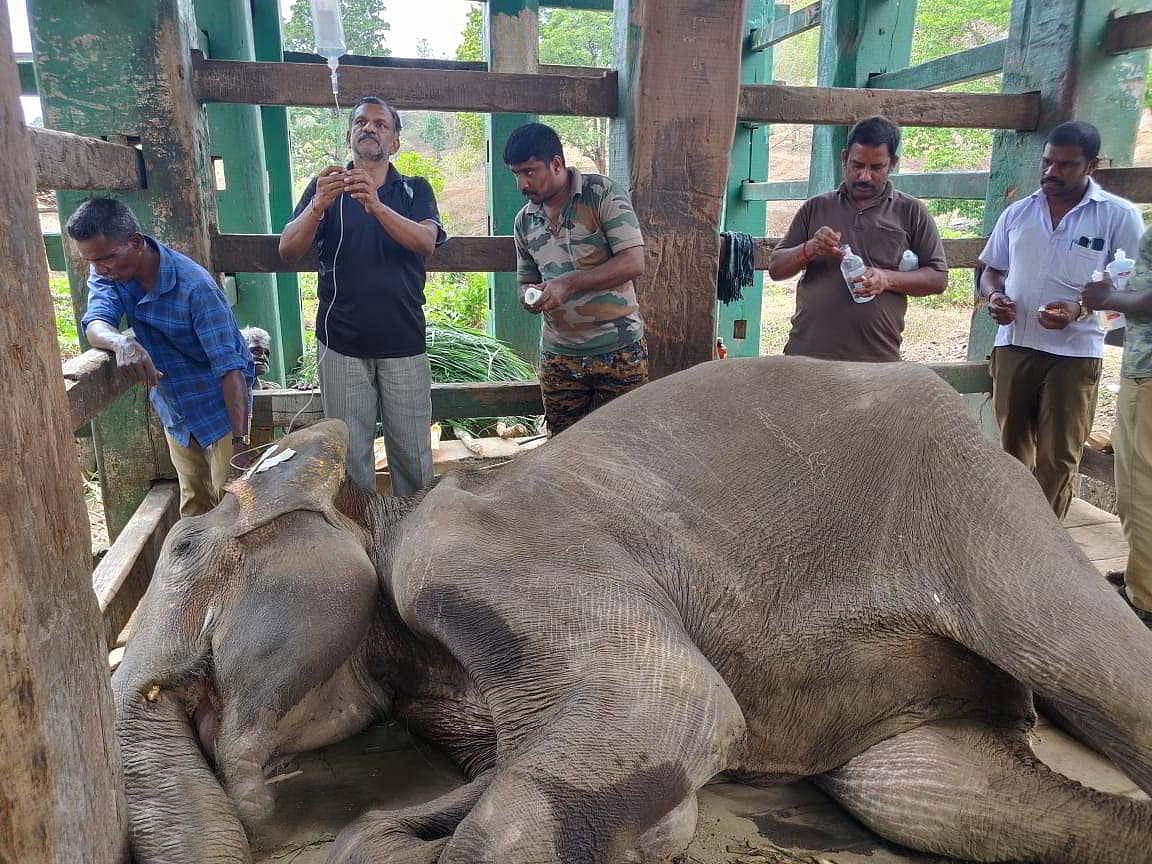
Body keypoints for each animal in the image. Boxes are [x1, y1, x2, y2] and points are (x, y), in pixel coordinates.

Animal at [112, 355, 1152, 864]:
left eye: (183, 548)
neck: (385, 506)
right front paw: (383, 837)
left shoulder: (479, 556)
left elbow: (673, 709)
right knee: (929, 799)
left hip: (971, 496)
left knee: (1087, 661)